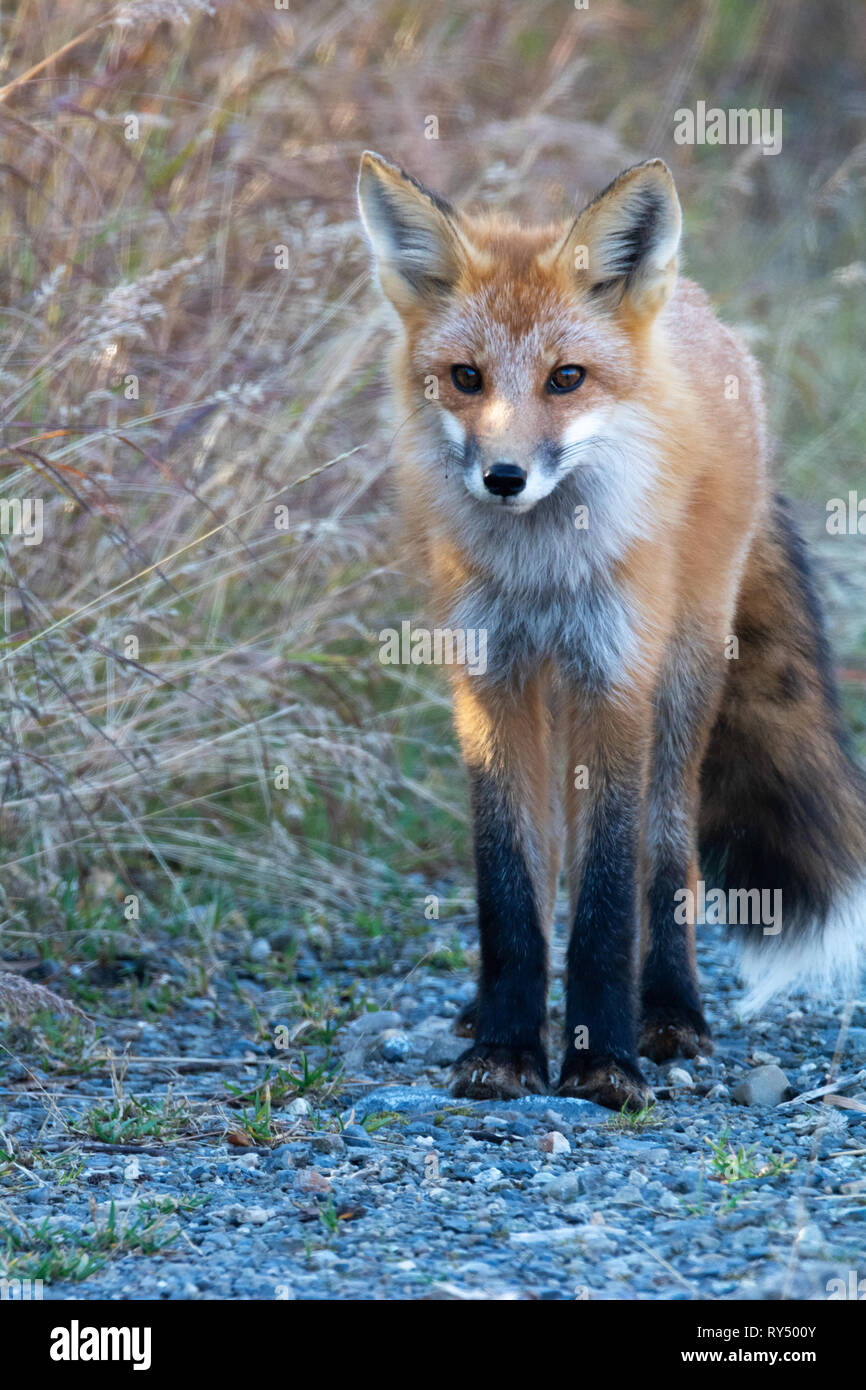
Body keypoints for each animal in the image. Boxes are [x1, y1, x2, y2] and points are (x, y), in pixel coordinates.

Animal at [357, 151, 866, 1111]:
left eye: (566, 378)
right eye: (467, 377)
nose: (504, 477)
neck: (543, 574)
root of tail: (697, 307)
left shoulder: (615, 677)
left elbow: (606, 895)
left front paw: (604, 1063)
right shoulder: (490, 683)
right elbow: (511, 886)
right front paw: (507, 1048)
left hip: (684, 675)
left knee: (669, 854)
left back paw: (669, 1012)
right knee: (550, 850)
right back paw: (495, 1012)